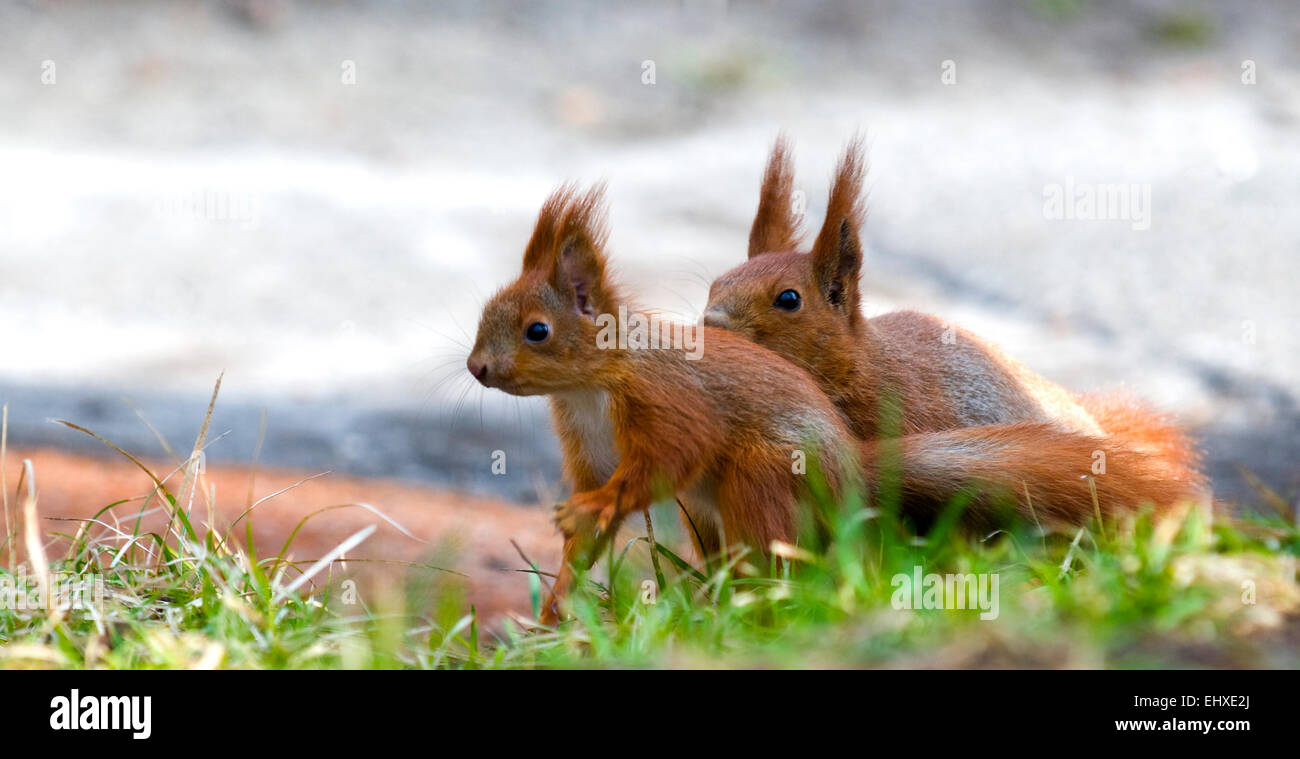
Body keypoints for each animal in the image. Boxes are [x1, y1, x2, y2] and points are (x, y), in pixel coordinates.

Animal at [469, 181, 1204, 624]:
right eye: (484, 314)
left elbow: (669, 458)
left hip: (764, 472)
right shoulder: (585, 438)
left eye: (537, 330)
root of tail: (854, 465)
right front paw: (555, 608)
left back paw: (755, 604)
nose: (477, 368)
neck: (592, 385)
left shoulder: (669, 401)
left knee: (777, 548)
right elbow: (590, 531)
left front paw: (596, 507)